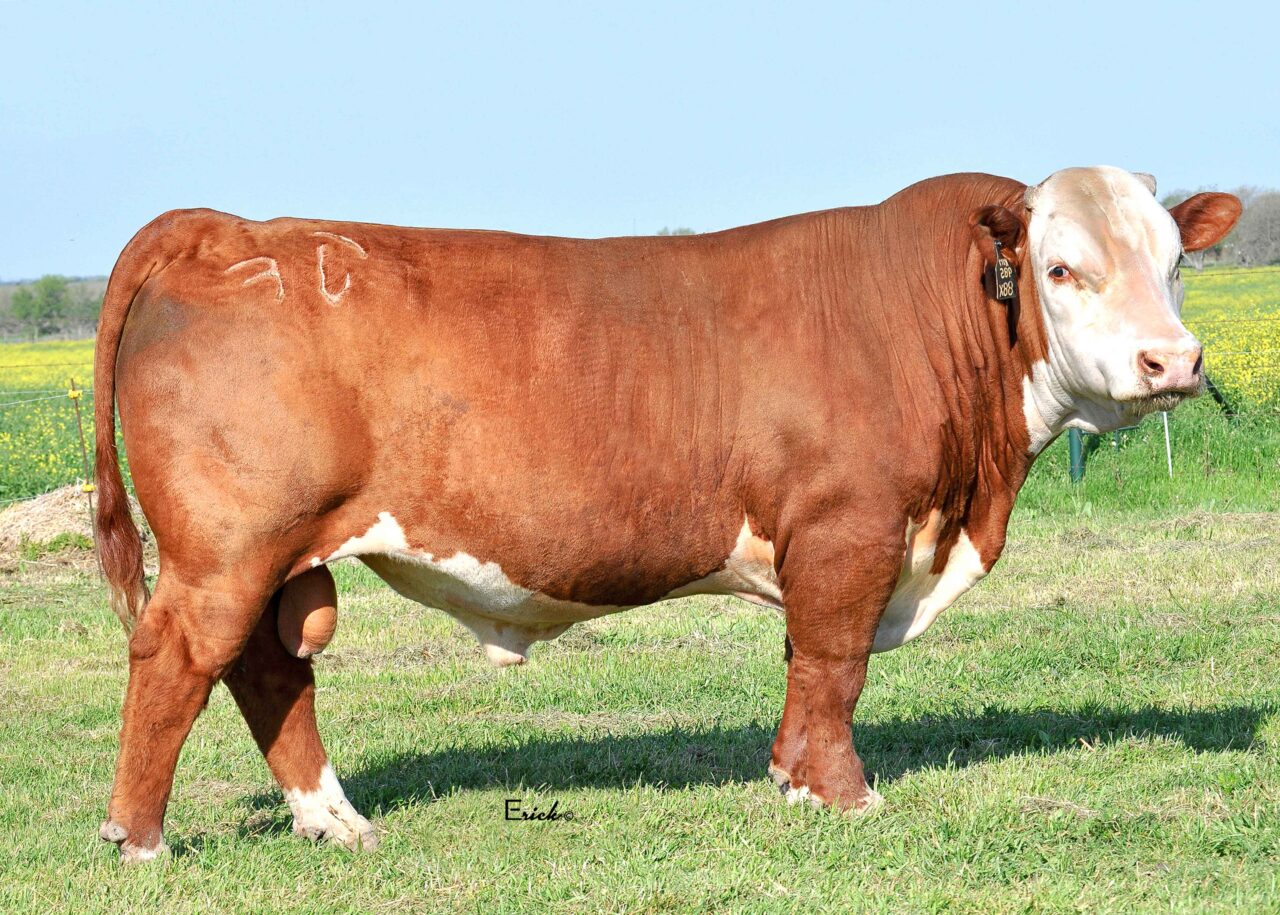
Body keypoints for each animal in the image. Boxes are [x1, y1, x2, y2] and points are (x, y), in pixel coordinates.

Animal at [91, 166, 1240, 861]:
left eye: (1176, 263)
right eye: (1060, 268)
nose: (1171, 361)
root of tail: (227, 228)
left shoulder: (831, 543)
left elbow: (807, 667)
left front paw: (790, 780)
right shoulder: (850, 528)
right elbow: (835, 664)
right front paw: (846, 796)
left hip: (272, 558)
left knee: (268, 671)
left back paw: (335, 822)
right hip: (226, 550)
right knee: (179, 659)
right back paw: (139, 839)